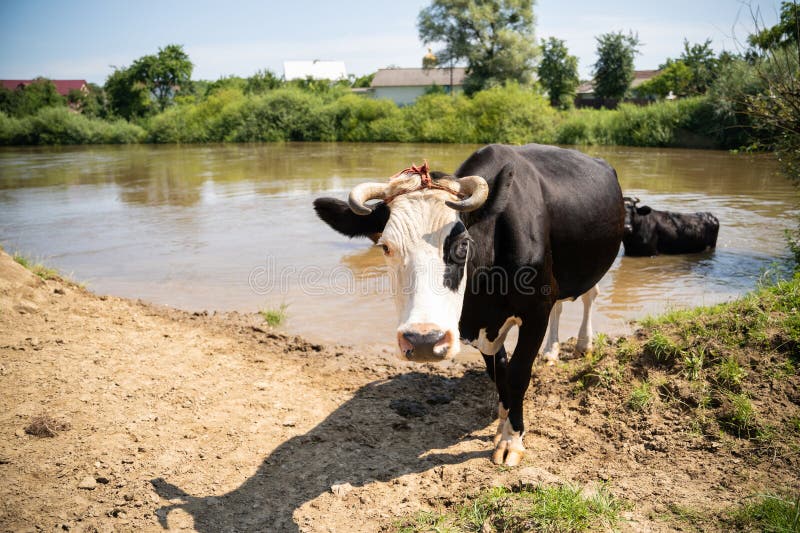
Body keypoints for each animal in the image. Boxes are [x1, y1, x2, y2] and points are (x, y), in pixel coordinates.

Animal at [313, 144, 624, 466]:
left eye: (462, 244)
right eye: (385, 246)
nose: (423, 341)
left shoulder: (536, 310)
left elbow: (517, 374)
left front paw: (512, 439)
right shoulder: (477, 325)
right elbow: (499, 372)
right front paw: (501, 426)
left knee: (588, 296)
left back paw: (583, 344)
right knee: (561, 308)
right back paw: (551, 351)